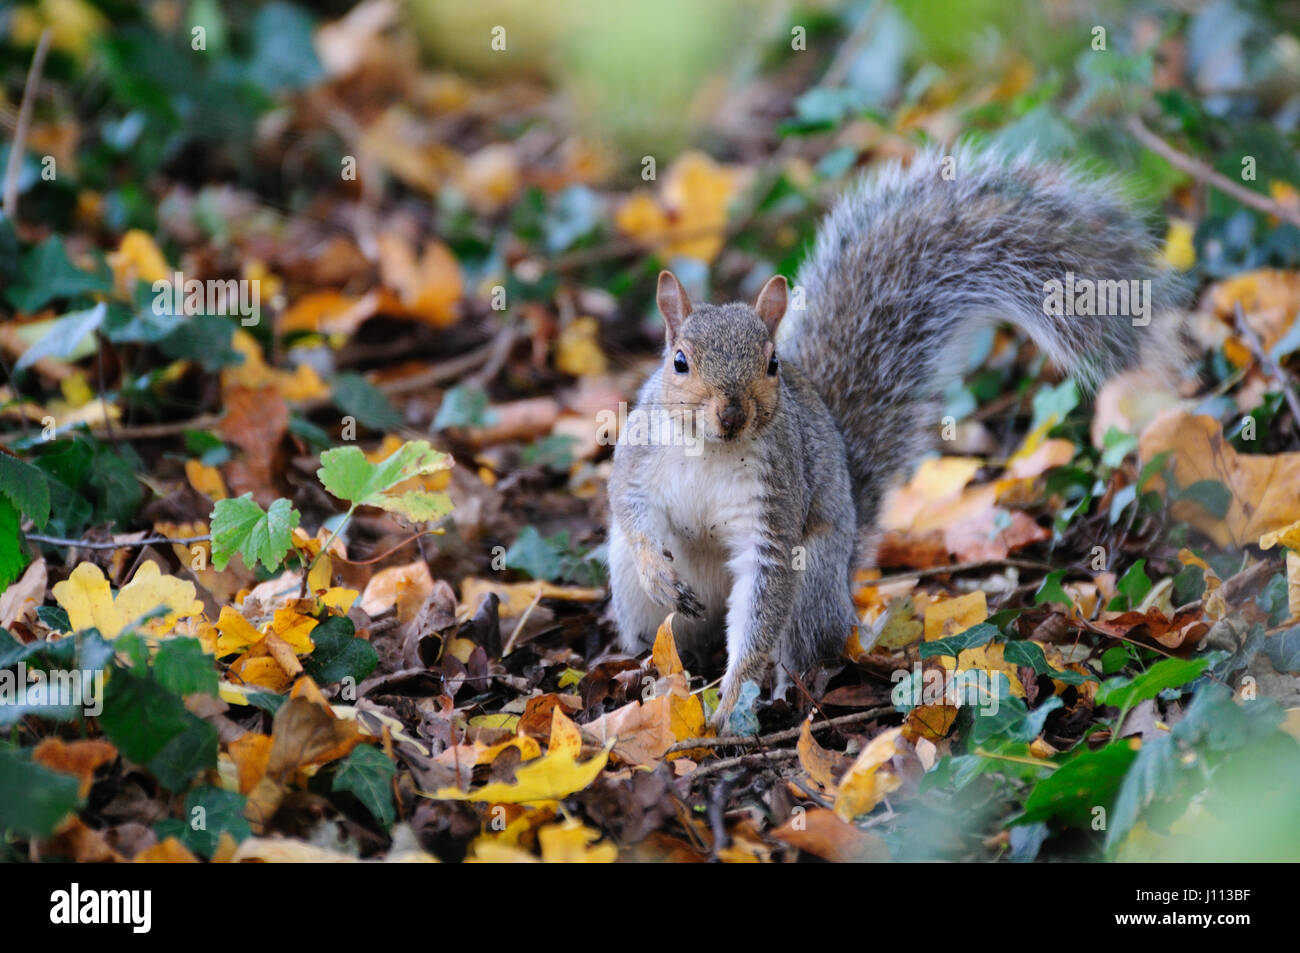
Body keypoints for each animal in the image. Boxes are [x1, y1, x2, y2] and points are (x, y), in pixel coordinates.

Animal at [607, 147, 1186, 729]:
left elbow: (762, 597)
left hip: (814, 581)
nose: (732, 413)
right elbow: (631, 511)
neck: (712, 448)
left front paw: (730, 705)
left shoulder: (774, 509)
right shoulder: (639, 460)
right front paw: (659, 572)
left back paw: (779, 691)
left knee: (807, 646)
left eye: (772, 365)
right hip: (630, 587)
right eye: (679, 362)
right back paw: (653, 670)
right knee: (667, 632)